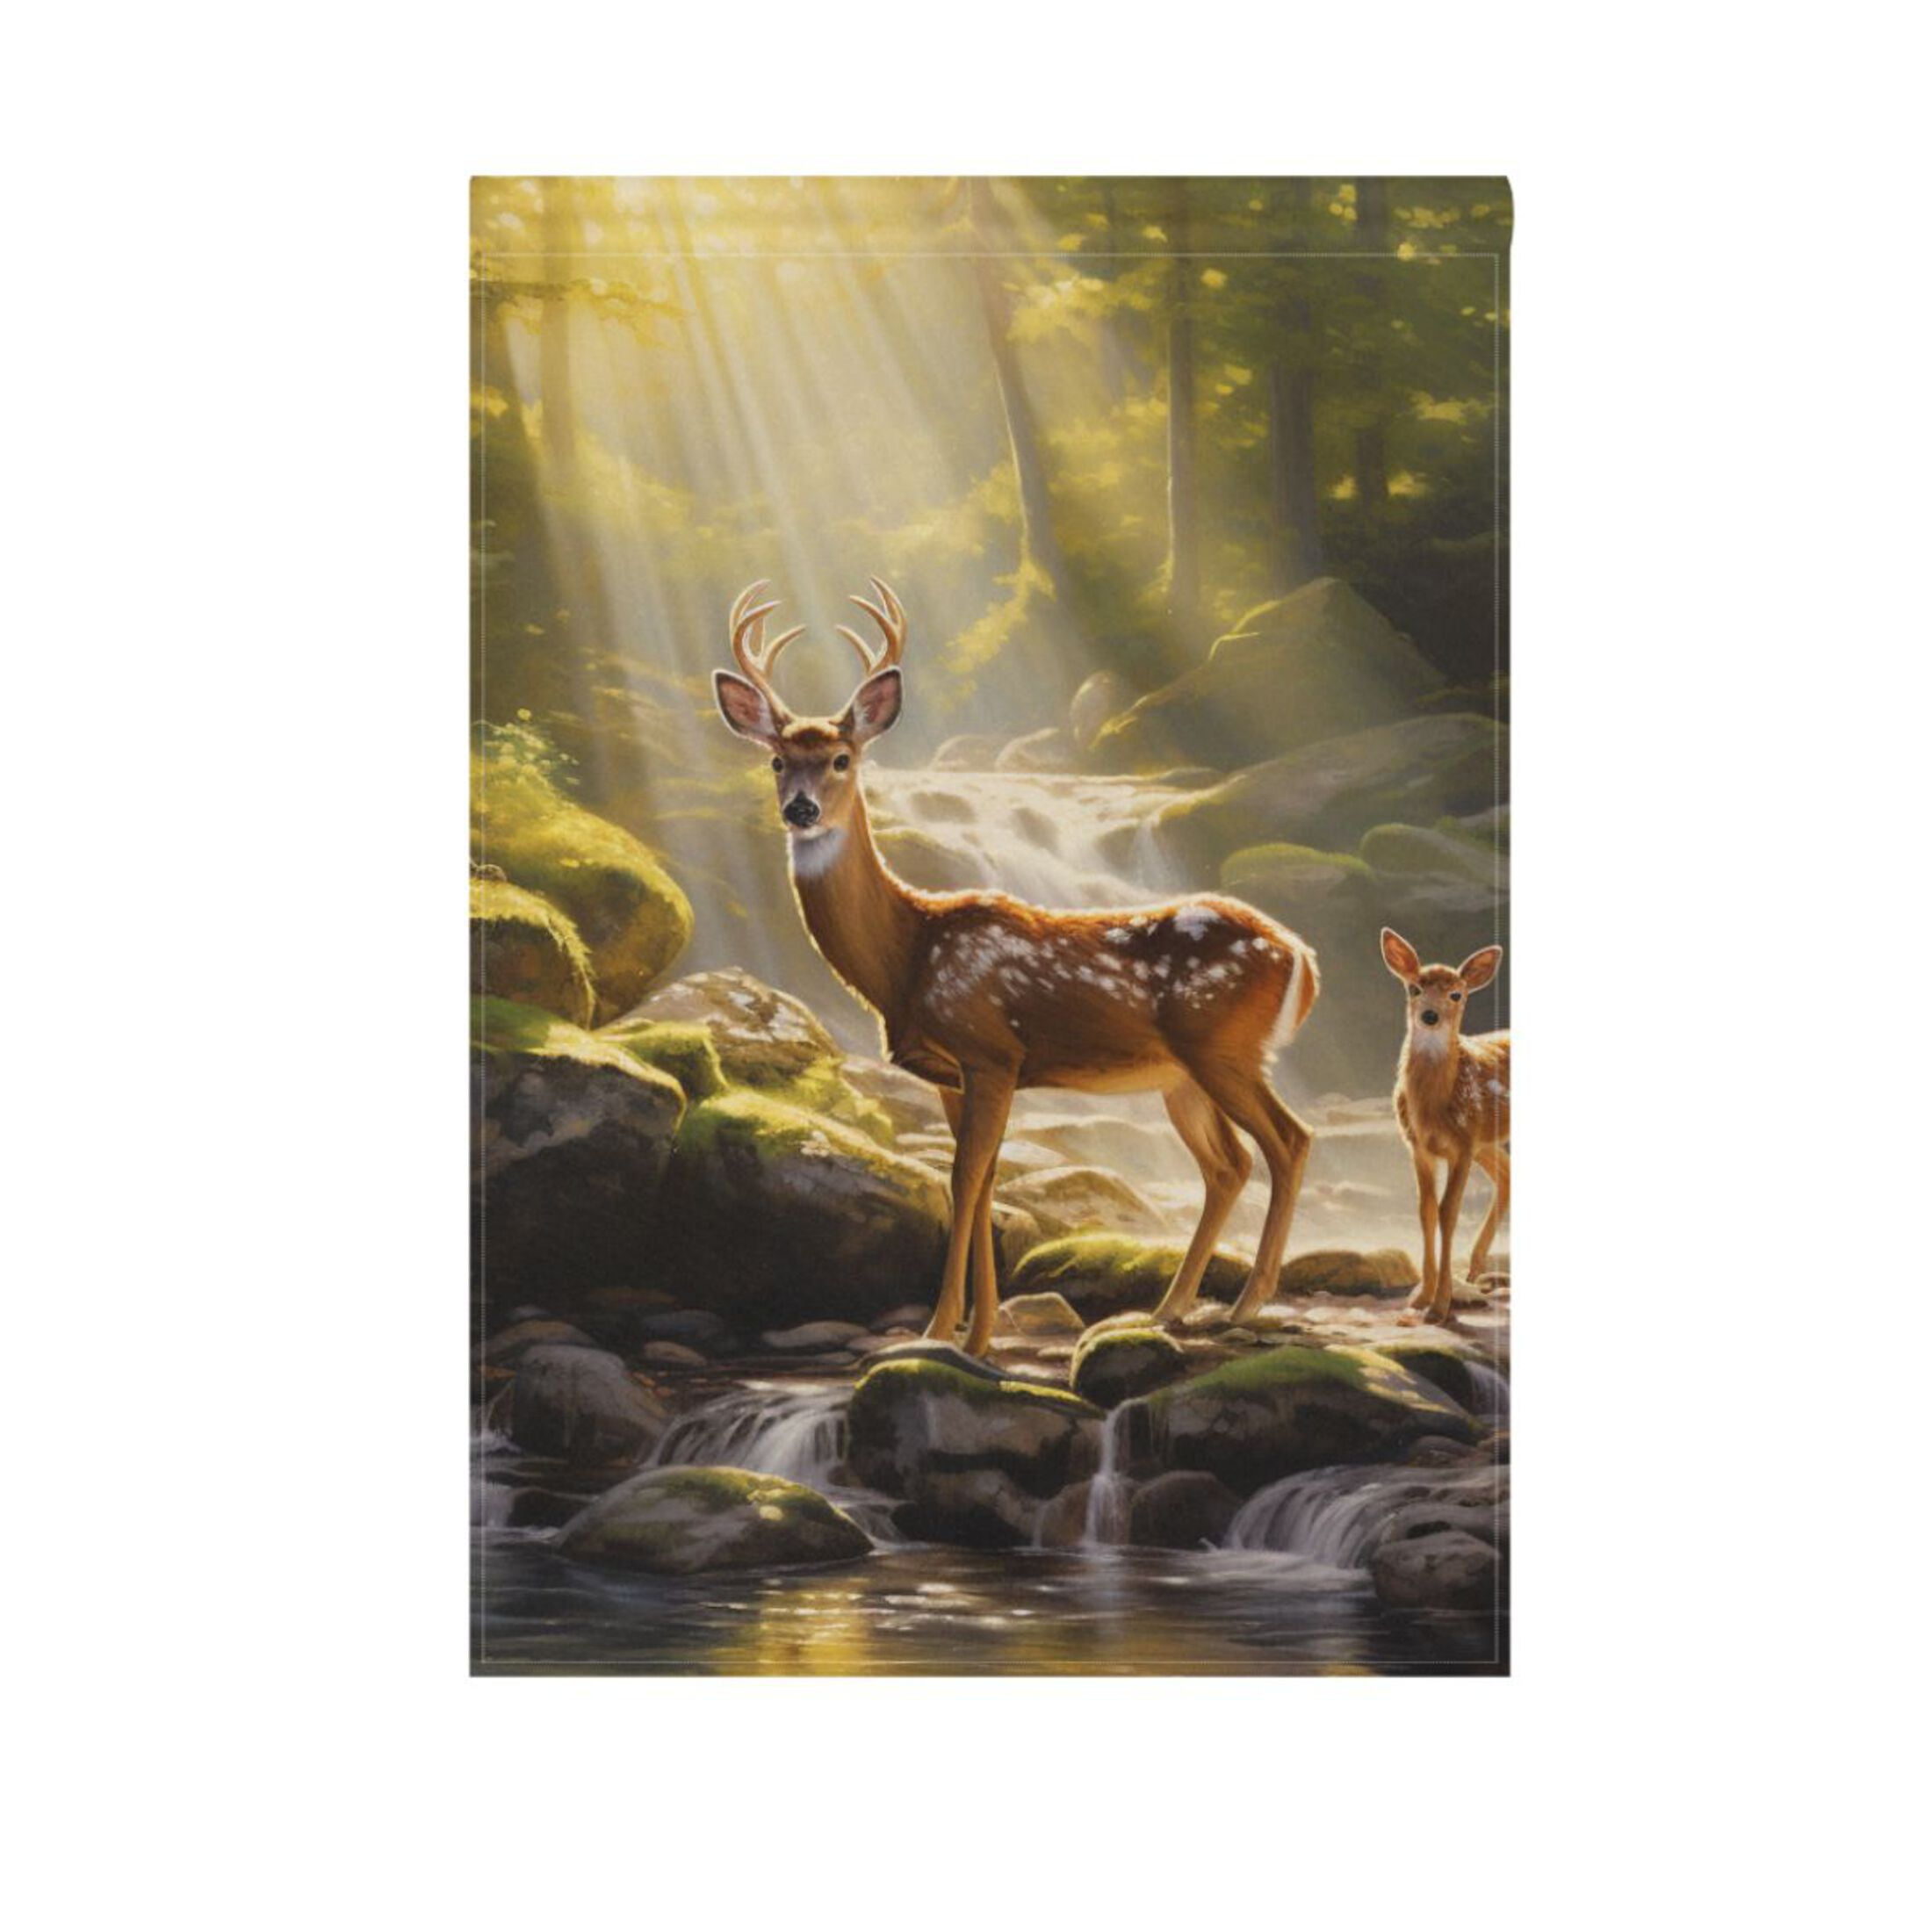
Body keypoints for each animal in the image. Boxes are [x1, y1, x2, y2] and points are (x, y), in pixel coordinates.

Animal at [712, 578, 1321, 1356]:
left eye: (843, 759)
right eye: (777, 760)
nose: (800, 809)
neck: (908, 952)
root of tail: (1301, 955)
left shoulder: (990, 1051)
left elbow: (964, 1178)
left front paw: (941, 1329)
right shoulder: (952, 1072)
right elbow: (985, 1181)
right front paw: (978, 1332)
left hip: (1225, 1048)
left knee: (1288, 1141)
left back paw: (1243, 1304)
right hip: (1182, 1077)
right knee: (1228, 1165)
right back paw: (1169, 1310)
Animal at [1380, 929, 1510, 1326]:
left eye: (1456, 994)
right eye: (1414, 988)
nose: (1430, 1016)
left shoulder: (1462, 1147)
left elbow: (1448, 1212)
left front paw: (1439, 1306)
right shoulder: (1419, 1147)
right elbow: (1425, 1210)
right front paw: (1421, 1297)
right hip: (1486, 1143)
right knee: (1508, 1176)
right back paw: (1476, 1269)